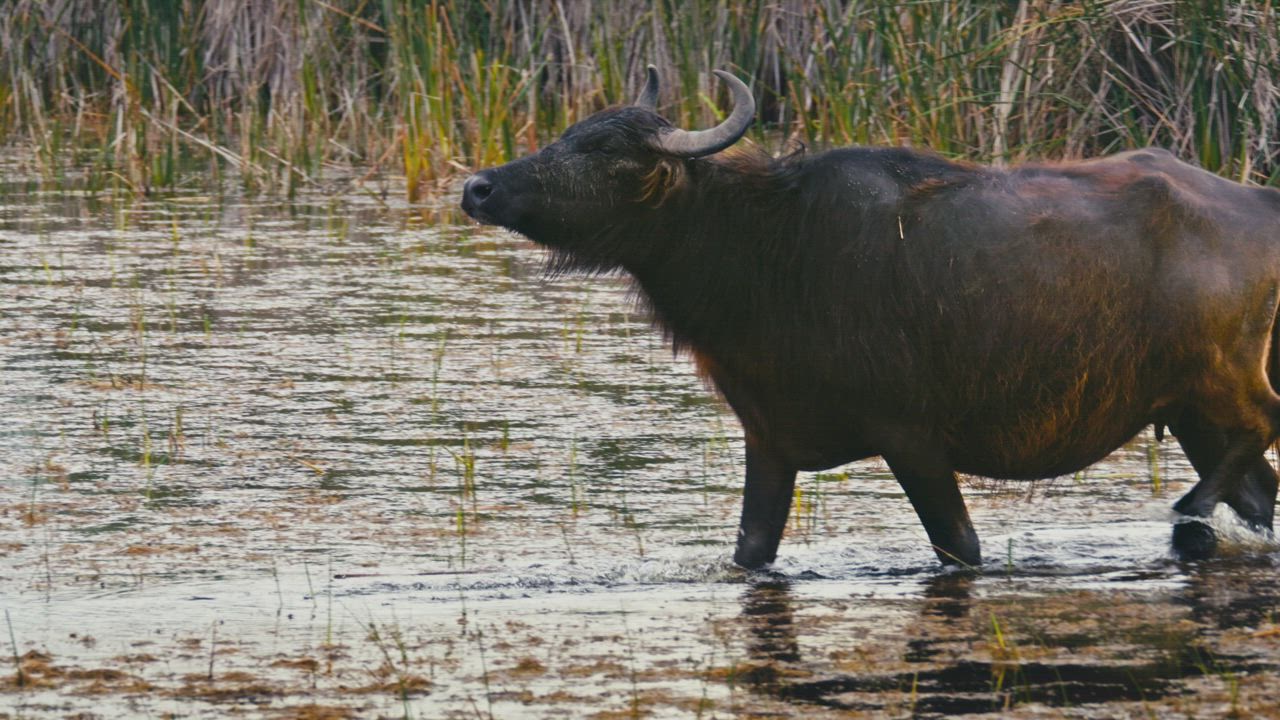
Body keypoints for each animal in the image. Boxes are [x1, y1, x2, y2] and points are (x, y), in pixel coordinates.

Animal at [461, 67, 1280, 569]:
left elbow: (960, 548)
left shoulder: (912, 436)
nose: (478, 187)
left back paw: (1188, 515)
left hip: (1221, 377)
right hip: (1186, 410)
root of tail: (1260, 200)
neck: (767, 253)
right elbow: (751, 553)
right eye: (568, 134)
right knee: (1259, 488)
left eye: (606, 153)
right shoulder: (770, 440)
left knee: (1263, 424)